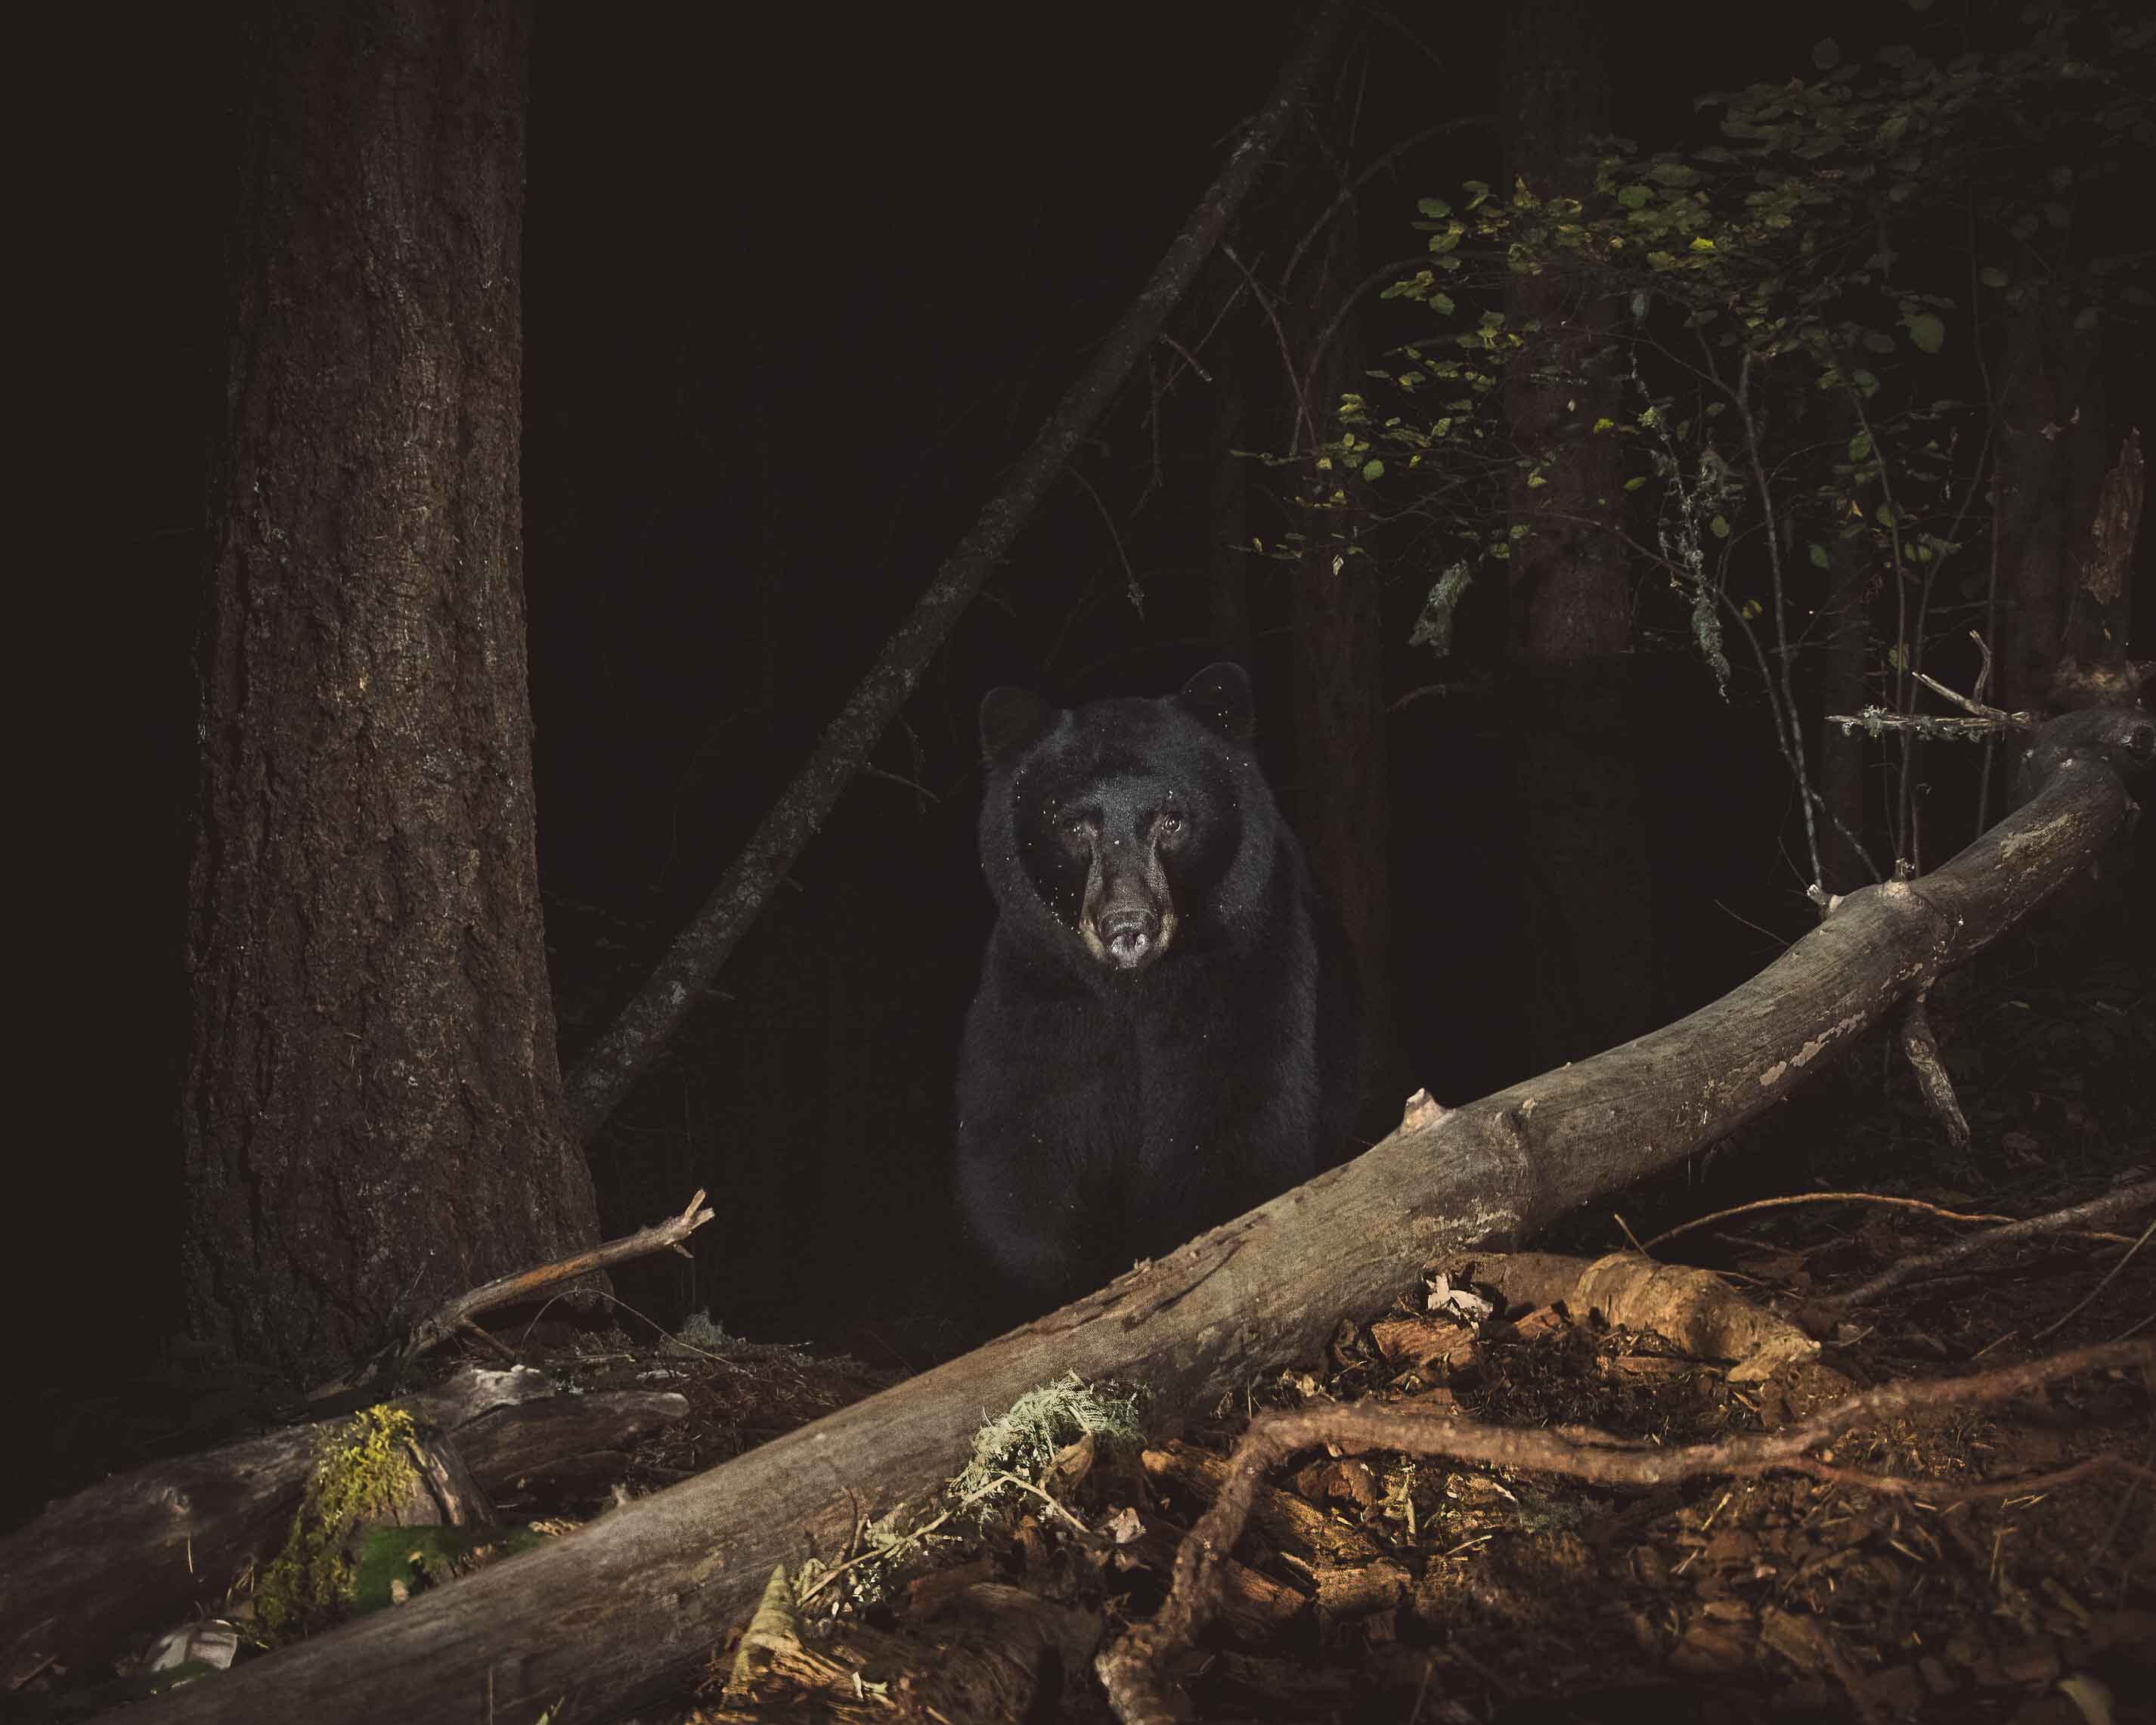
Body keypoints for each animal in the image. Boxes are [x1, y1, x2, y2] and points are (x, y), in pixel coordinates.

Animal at [954, 661, 1359, 1312]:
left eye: (1171, 819)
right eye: (1075, 827)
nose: (1127, 926)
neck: (1131, 992)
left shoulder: (1250, 965)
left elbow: (1235, 1118)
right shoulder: (1043, 993)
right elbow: (1021, 1149)